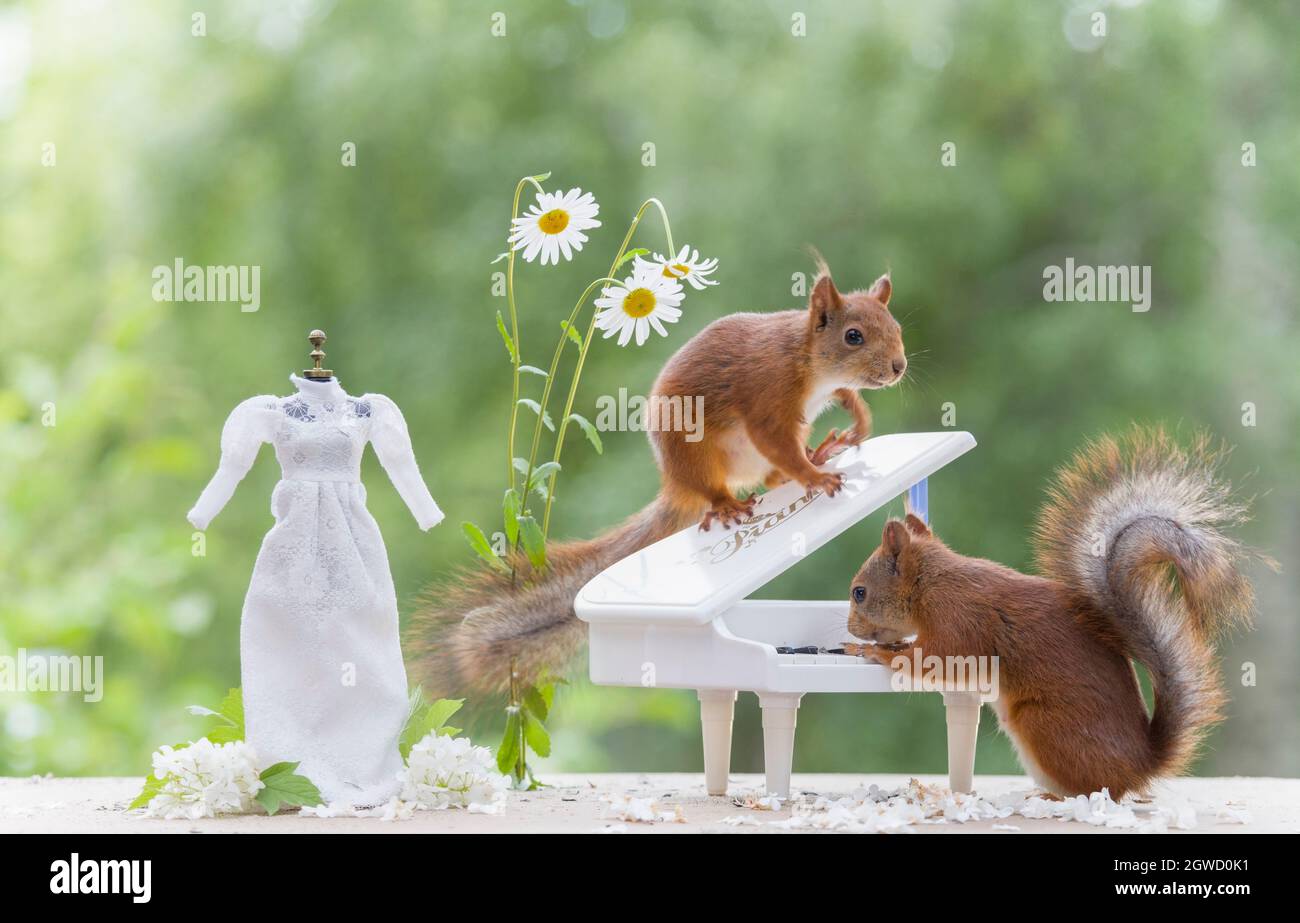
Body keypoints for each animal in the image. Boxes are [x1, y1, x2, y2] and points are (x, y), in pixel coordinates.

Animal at [408, 257, 908, 697]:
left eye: (897, 328)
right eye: (853, 336)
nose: (899, 367)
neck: (808, 361)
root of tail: (676, 485)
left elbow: (835, 409)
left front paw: (857, 418)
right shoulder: (769, 394)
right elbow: (777, 442)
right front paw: (815, 478)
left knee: (770, 480)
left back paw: (819, 451)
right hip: (696, 452)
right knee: (728, 484)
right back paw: (730, 502)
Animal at [847, 427, 1261, 798]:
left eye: (860, 592)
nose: (850, 629)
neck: (929, 584)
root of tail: (1142, 764)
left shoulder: (958, 623)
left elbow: (929, 658)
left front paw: (873, 651)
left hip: (1043, 724)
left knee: (1099, 791)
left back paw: (1054, 797)